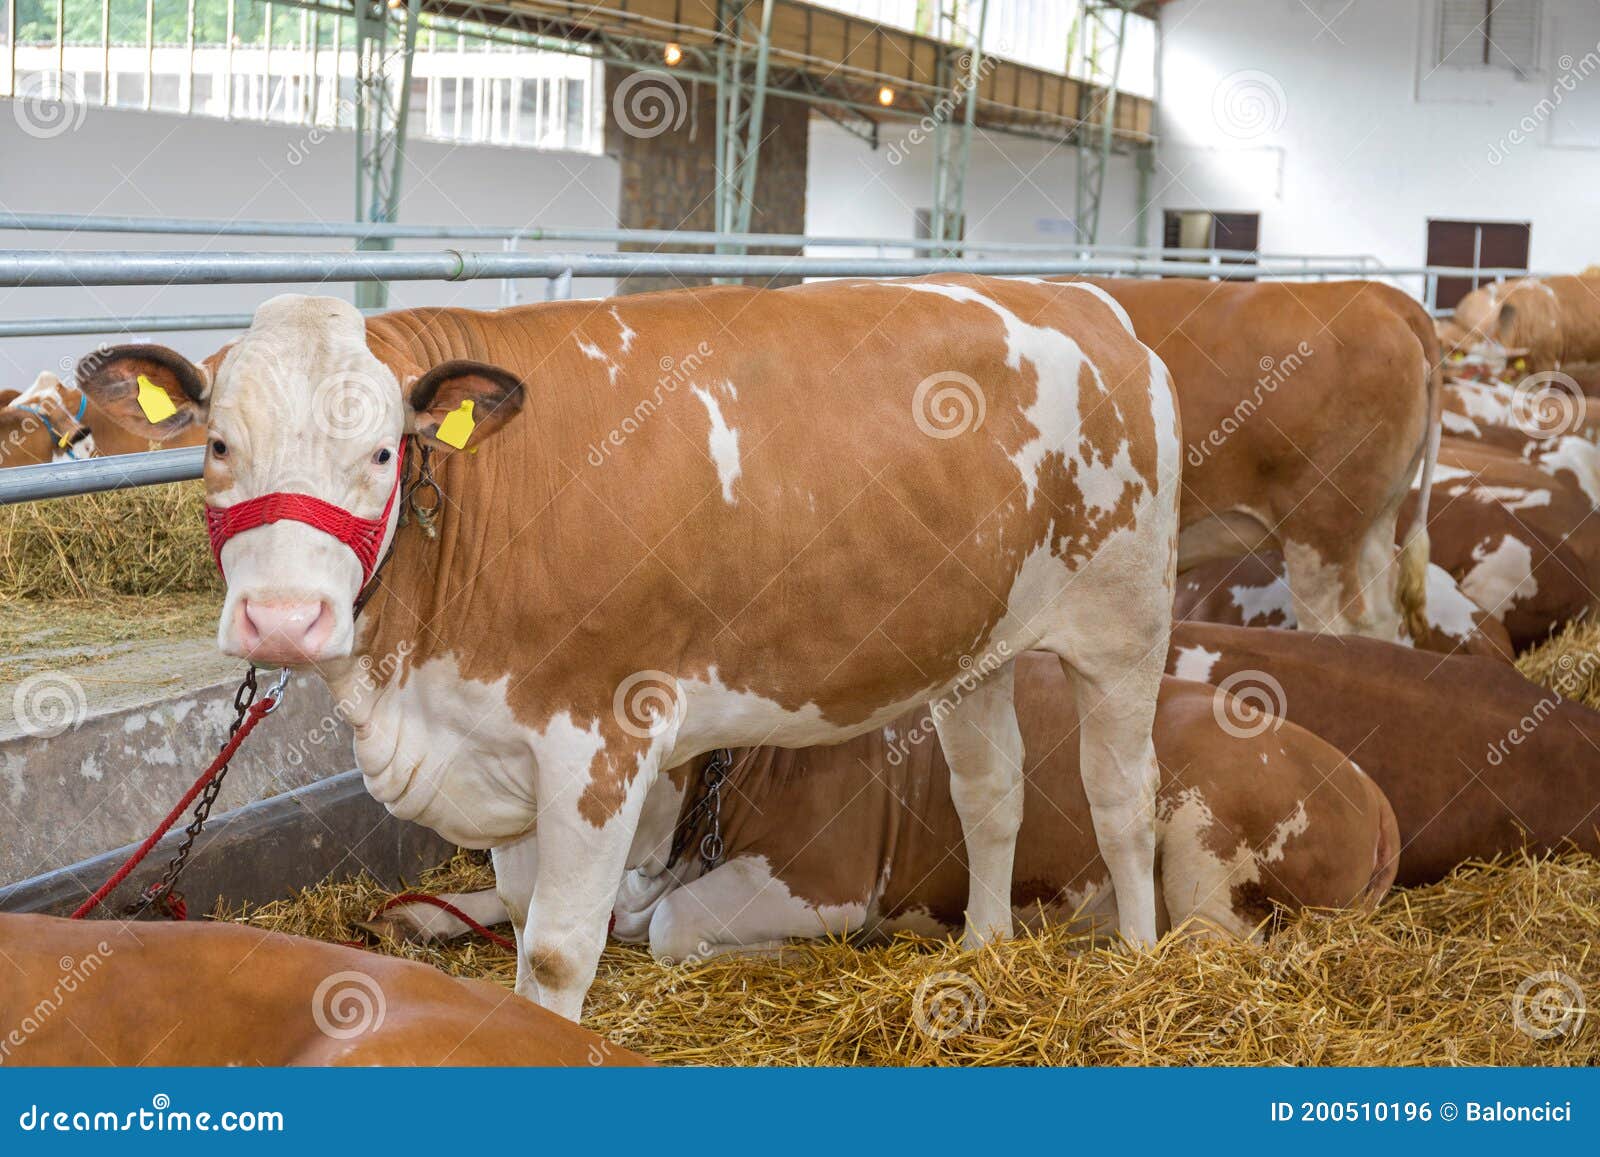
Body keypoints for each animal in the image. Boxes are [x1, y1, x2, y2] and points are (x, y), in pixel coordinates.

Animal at [76, 281, 1182, 1020]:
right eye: (219, 446)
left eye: (384, 451)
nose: (282, 620)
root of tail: (1088, 301)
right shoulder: (497, 743)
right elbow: (524, 920)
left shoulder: (599, 735)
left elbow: (562, 952)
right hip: (975, 649)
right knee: (990, 792)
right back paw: (989, 946)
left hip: (1125, 620)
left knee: (1120, 798)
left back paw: (1138, 960)